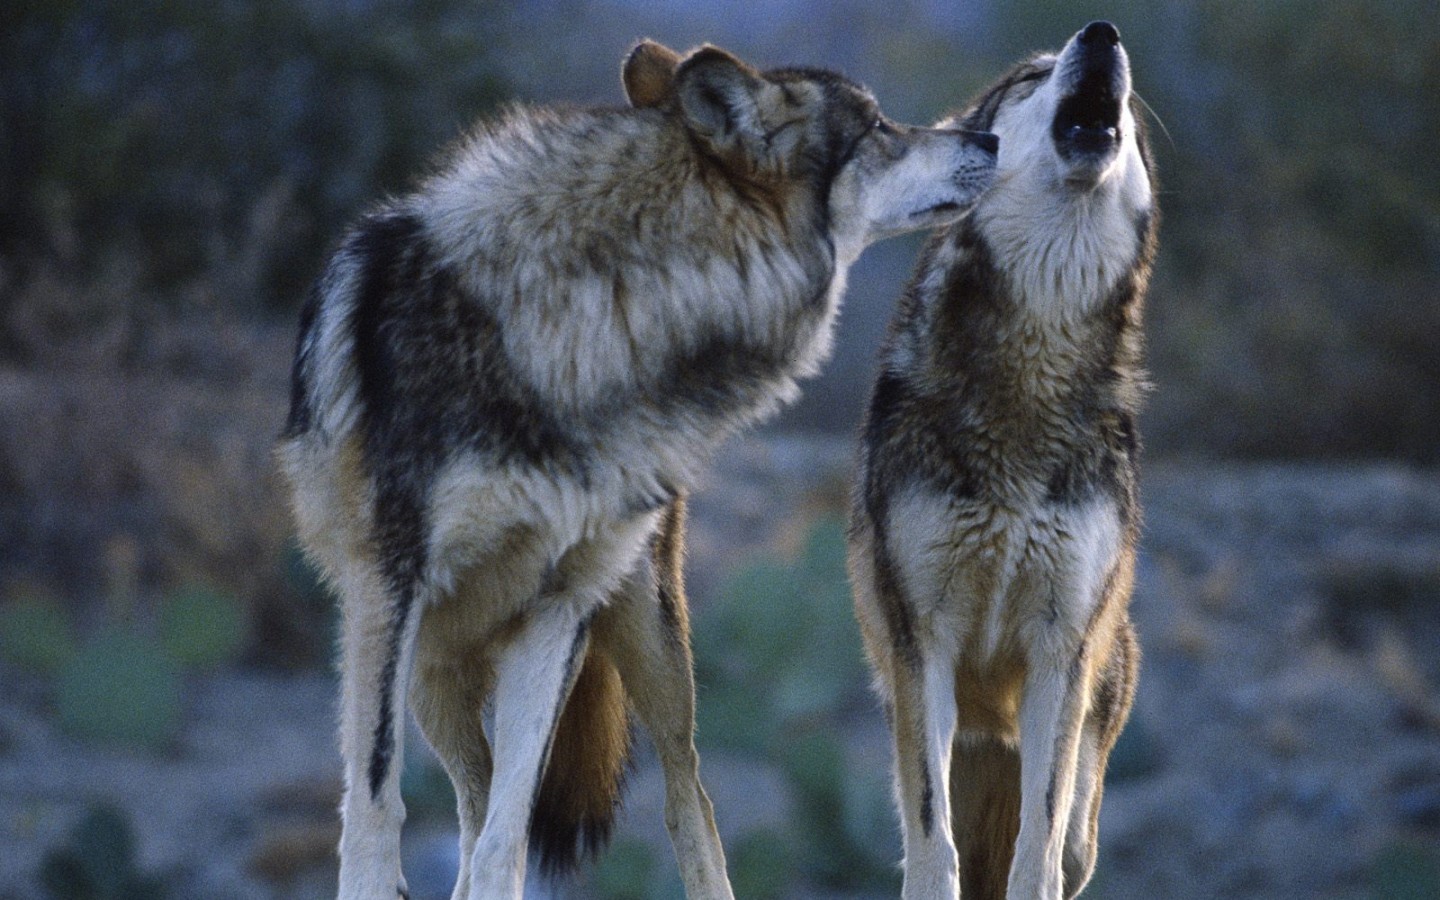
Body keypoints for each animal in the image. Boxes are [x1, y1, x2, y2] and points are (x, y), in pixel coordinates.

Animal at [277, 37, 998, 900]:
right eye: (880, 128)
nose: (990, 138)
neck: (605, 311)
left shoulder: (556, 607)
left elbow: (508, 837)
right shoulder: (390, 589)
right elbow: (380, 804)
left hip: (649, 644)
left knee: (686, 803)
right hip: (431, 669)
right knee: (469, 803)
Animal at [848, 21, 1156, 900]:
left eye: (1132, 101)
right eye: (1030, 78)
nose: (1102, 33)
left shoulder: (1062, 647)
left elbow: (1039, 836)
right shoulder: (923, 642)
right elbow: (931, 836)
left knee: (1067, 840)